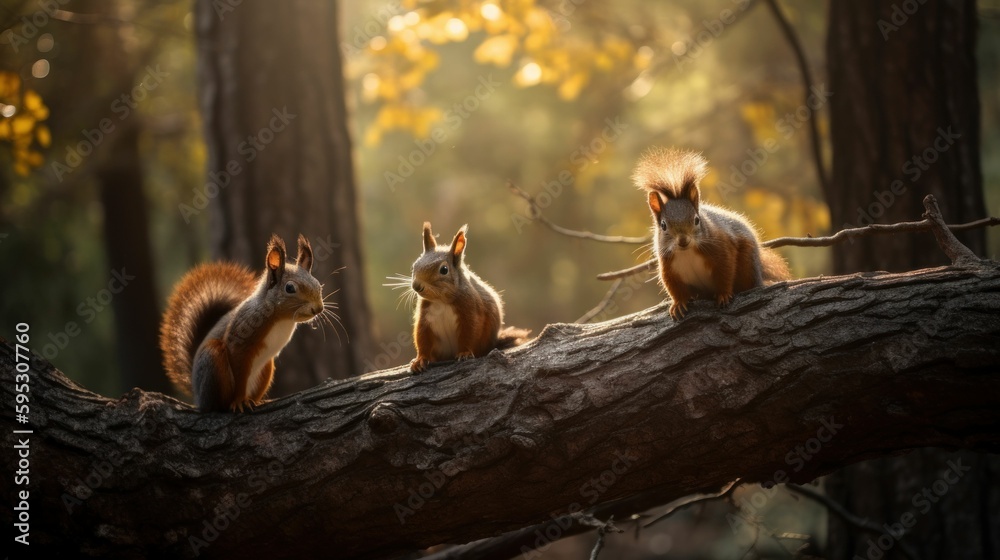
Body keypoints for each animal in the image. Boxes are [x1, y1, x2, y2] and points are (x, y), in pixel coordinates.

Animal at [160, 234, 326, 412]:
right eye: (290, 288)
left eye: (318, 284)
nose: (319, 308)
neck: (282, 319)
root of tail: (197, 394)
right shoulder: (240, 338)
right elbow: (238, 369)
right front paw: (239, 400)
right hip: (213, 359)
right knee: (217, 403)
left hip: (267, 367)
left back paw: (258, 401)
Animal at [403, 222, 529, 373]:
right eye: (413, 267)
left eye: (444, 270)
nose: (416, 286)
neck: (441, 301)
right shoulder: (425, 317)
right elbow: (422, 338)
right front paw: (420, 359)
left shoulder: (470, 310)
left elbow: (469, 334)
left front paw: (464, 353)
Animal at [633, 148, 790, 320]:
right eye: (663, 225)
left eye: (697, 220)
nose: (683, 240)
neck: (687, 252)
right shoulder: (667, 264)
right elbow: (673, 286)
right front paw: (678, 304)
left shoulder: (722, 247)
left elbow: (725, 272)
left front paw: (723, 295)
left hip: (747, 265)